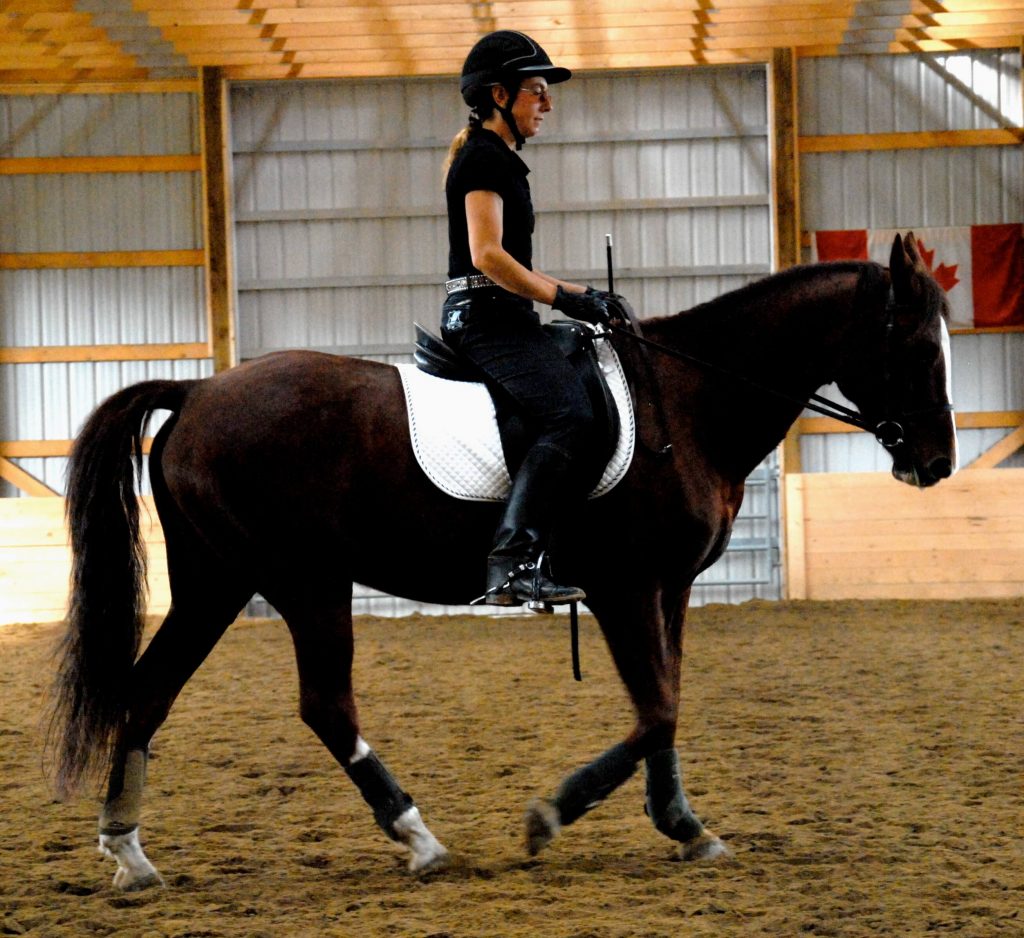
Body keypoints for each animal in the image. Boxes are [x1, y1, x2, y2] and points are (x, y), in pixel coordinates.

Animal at [49, 233, 958, 889]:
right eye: (918, 347)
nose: (939, 463)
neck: (689, 402)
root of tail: (198, 391)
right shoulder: (625, 586)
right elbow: (656, 708)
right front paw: (553, 814)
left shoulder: (669, 588)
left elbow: (667, 704)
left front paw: (685, 828)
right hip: (304, 579)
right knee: (324, 706)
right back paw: (419, 839)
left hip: (218, 580)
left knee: (148, 692)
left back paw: (128, 850)